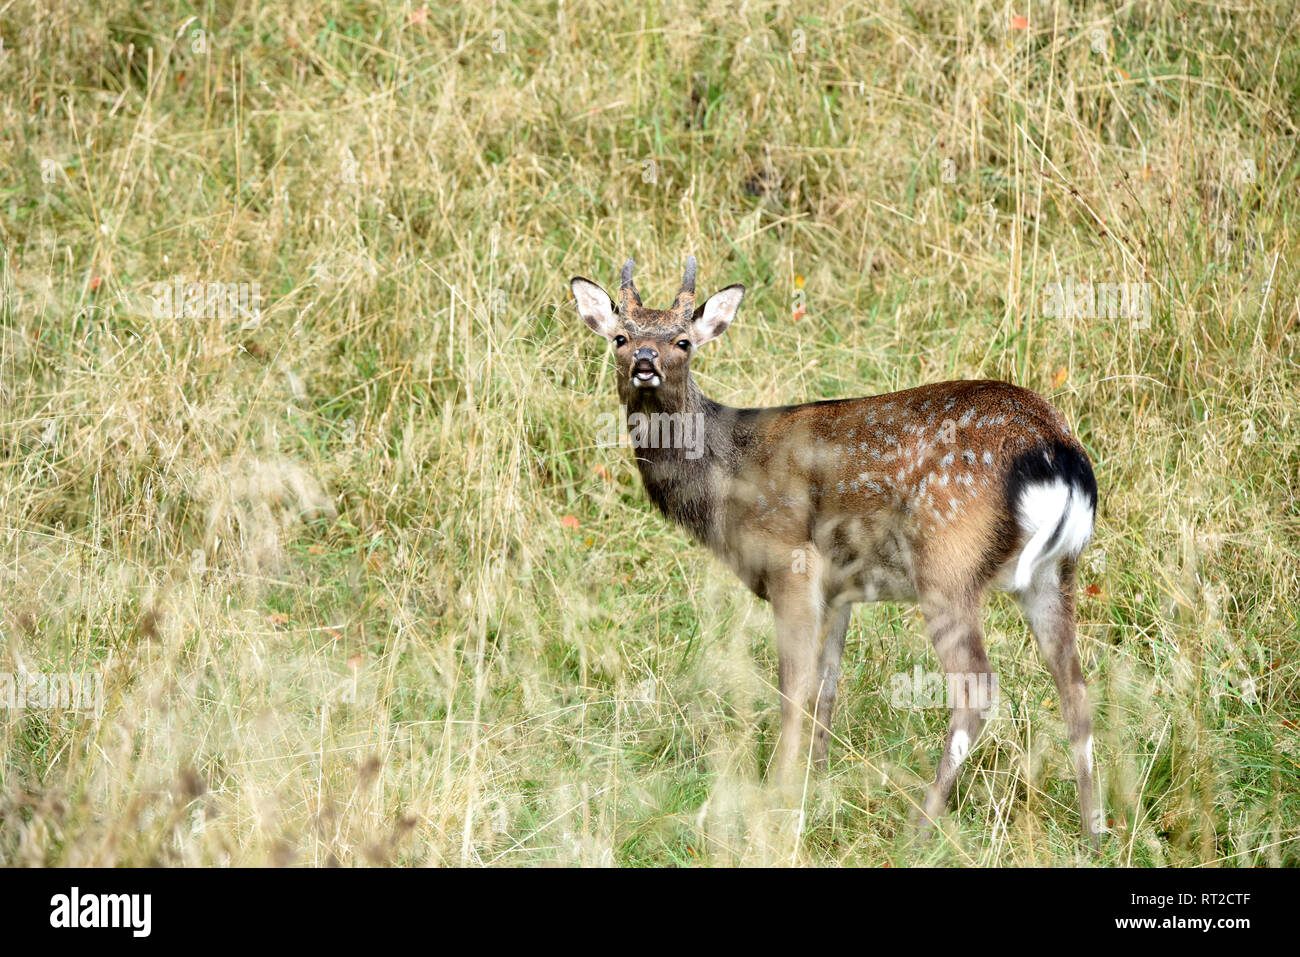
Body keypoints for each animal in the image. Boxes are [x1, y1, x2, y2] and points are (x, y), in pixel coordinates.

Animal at [570, 256, 1102, 847]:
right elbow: (828, 686)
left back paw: (920, 828)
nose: (645, 362)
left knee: (977, 687)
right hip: (1055, 572)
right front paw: (818, 786)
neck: (725, 482)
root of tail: (1057, 455)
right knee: (1076, 688)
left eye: (683, 342)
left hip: (947, 561)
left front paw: (779, 790)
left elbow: (794, 685)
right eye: (620, 337)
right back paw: (1094, 832)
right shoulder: (840, 591)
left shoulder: (791, 562)